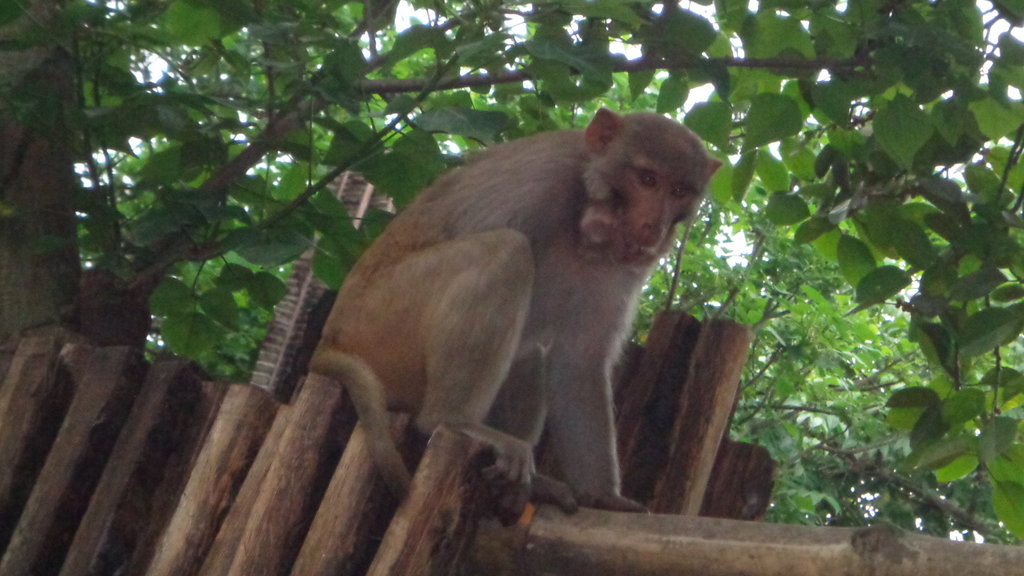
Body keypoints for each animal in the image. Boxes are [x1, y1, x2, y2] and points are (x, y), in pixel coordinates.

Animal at [309, 108, 721, 514]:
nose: (653, 226)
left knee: (528, 353)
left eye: (678, 191)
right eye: (647, 179)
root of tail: (330, 339)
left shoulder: (626, 264)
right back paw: (451, 419)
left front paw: (604, 496)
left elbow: (578, 359)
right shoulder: (541, 186)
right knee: (506, 252)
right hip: (384, 316)